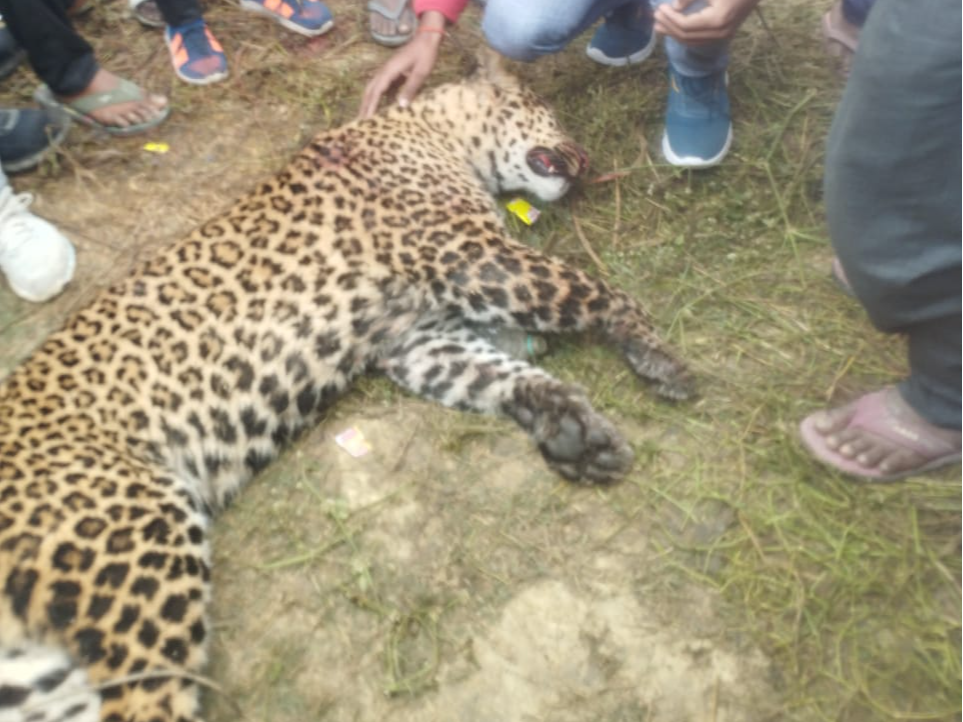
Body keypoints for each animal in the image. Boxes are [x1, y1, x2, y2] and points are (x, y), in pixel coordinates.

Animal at [0, 53, 694, 722]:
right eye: (551, 115)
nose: (589, 160)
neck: (431, 131)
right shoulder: (476, 258)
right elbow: (591, 291)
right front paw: (658, 353)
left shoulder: (416, 339)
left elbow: (498, 375)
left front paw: (576, 434)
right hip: (139, 552)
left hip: (40, 677)